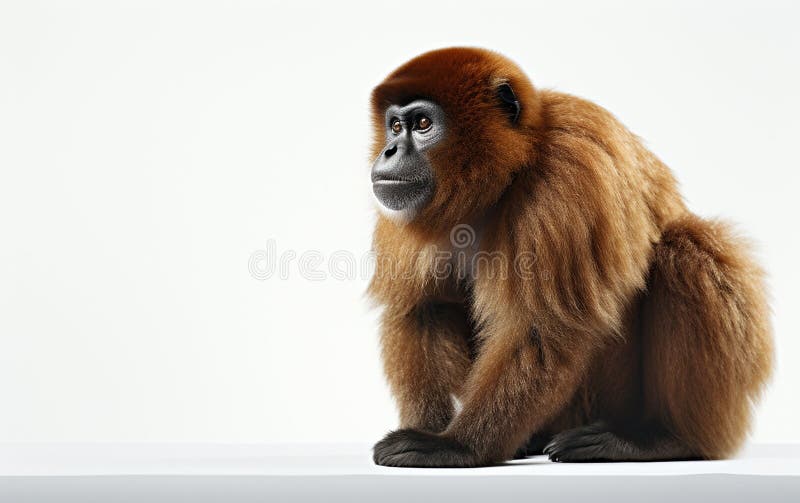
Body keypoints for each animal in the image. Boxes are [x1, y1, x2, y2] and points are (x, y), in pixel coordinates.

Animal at [367, 47, 773, 468]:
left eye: (423, 124)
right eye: (395, 126)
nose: (388, 150)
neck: (511, 174)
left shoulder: (564, 173)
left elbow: (543, 328)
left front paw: (458, 445)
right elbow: (425, 307)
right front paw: (436, 429)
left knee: (686, 248)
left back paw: (664, 439)